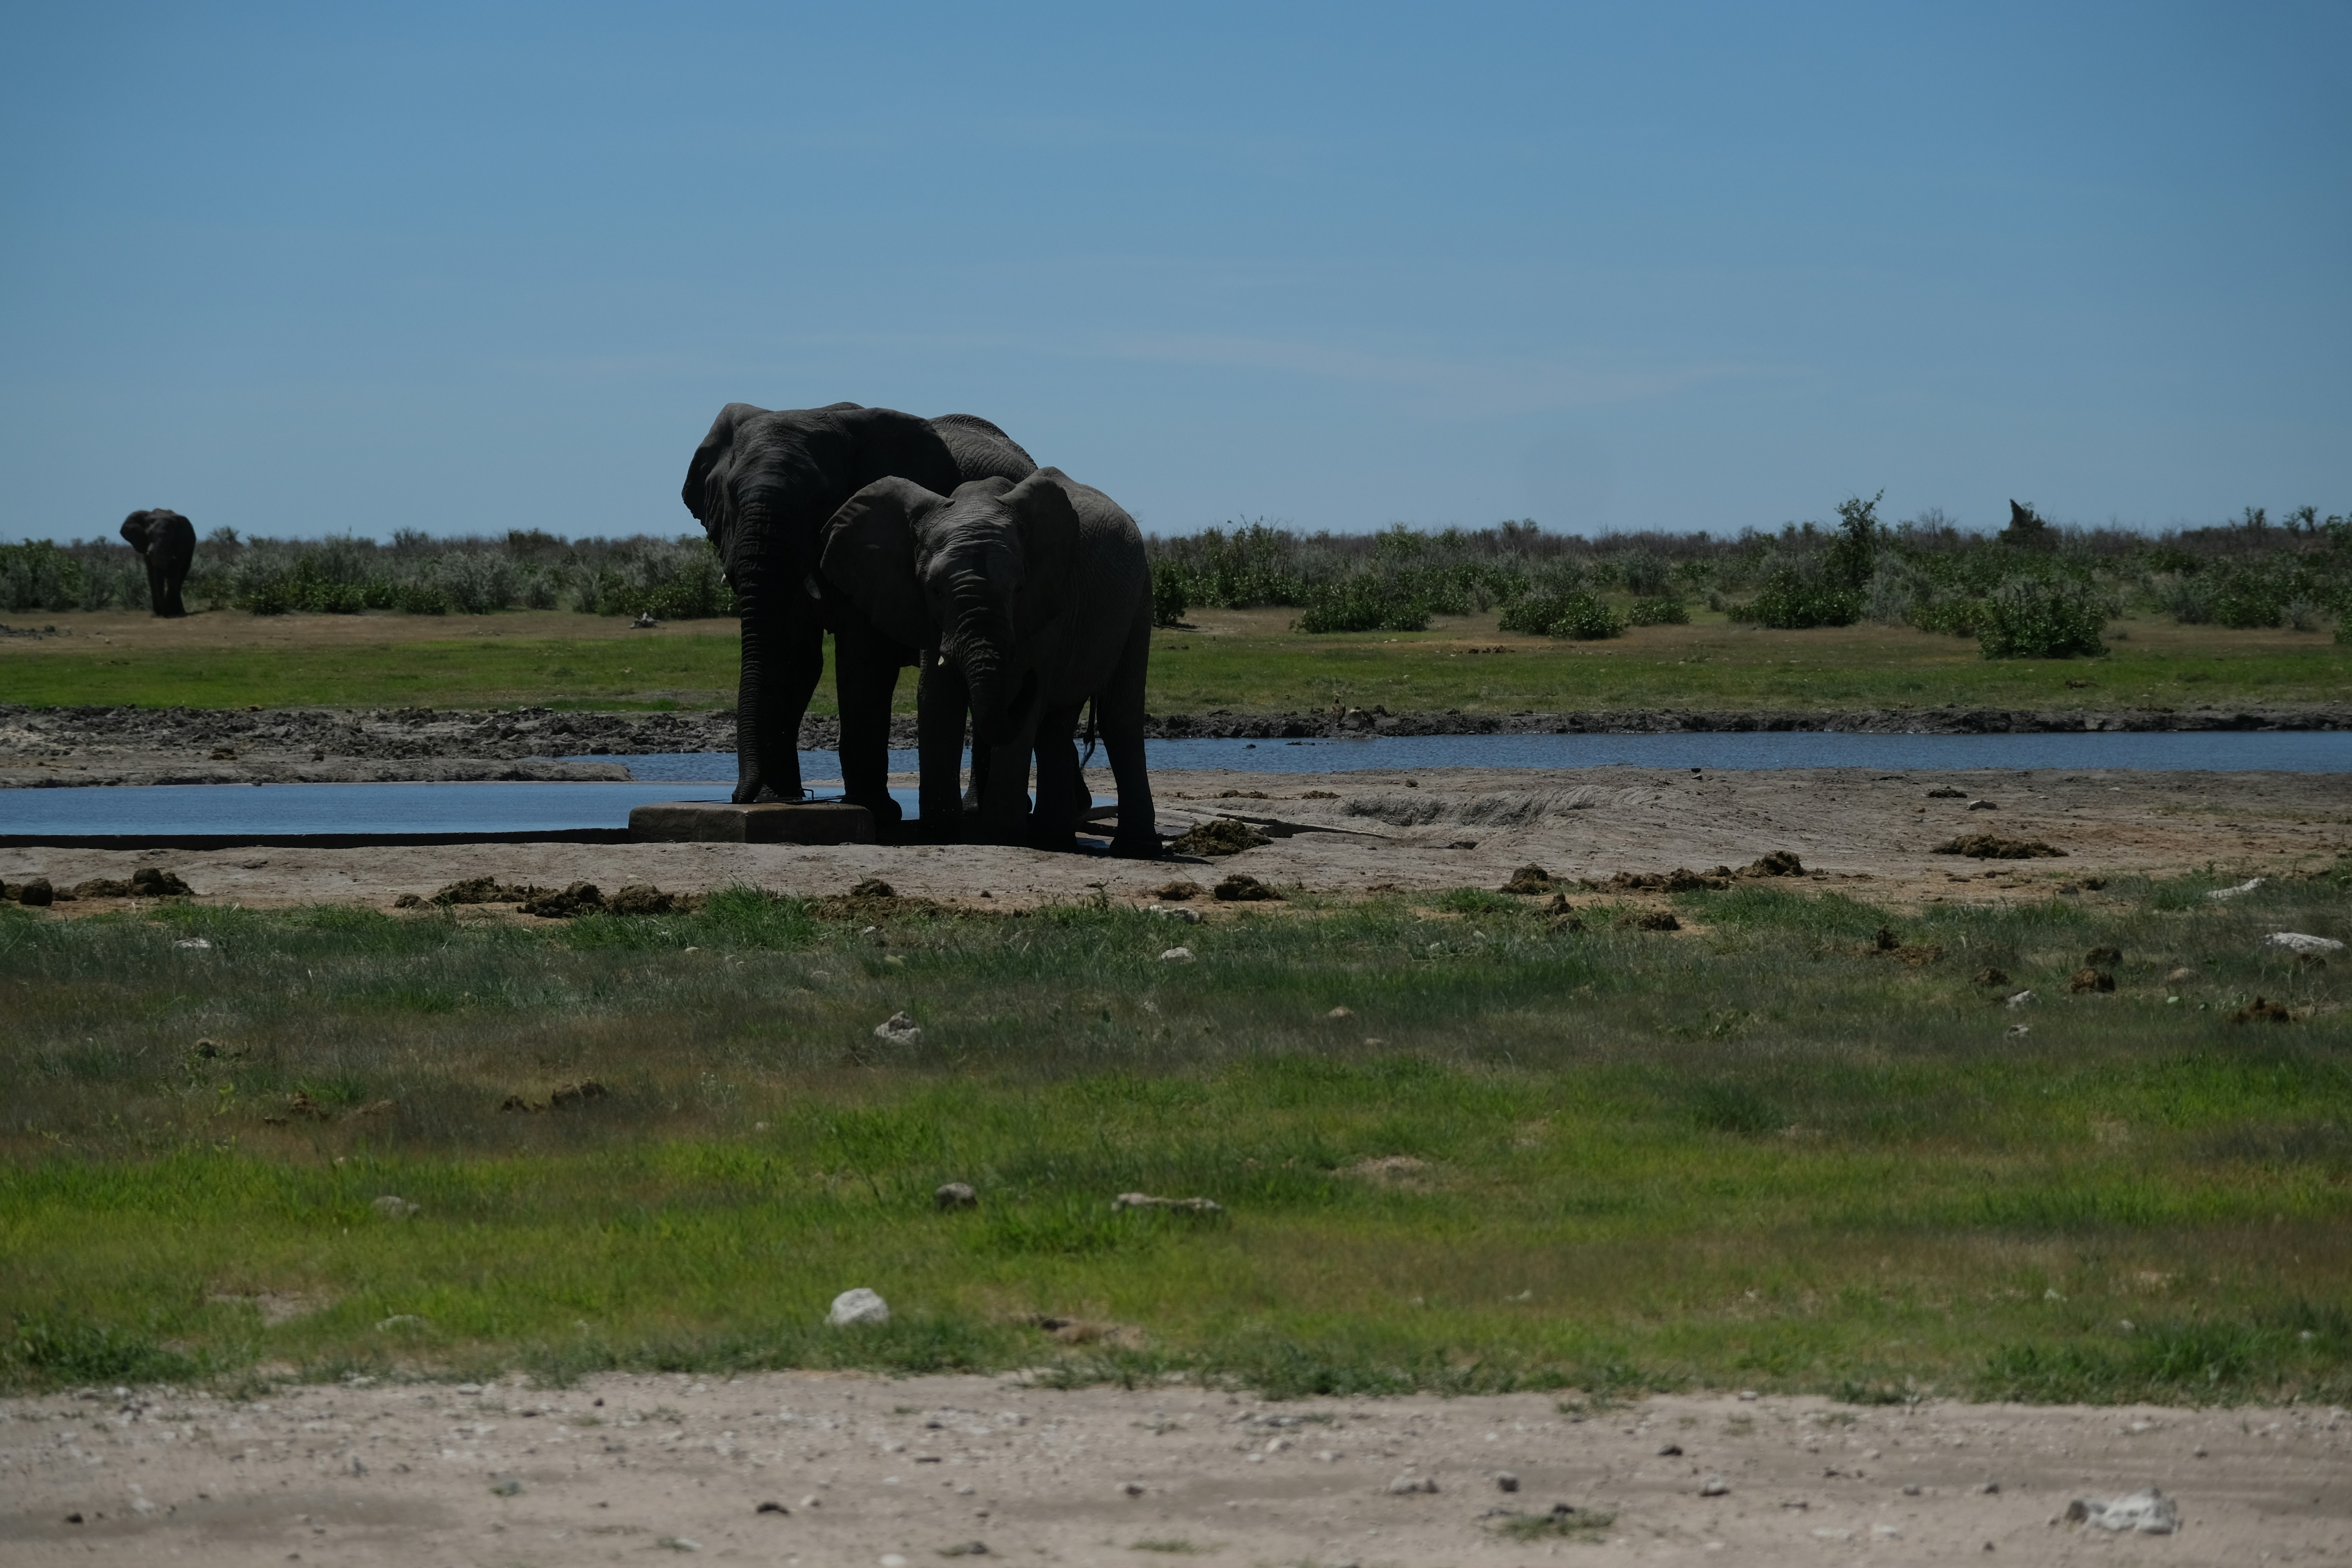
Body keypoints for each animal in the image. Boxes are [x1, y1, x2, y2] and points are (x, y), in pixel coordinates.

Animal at [119, 509, 196, 617]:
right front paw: (160, 613)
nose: (164, 614)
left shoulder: (179, 547)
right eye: (148, 535)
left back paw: (179, 612)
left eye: (171, 537)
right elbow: (153, 576)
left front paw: (170, 612)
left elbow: (174, 574)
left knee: (182, 576)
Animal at [679, 402, 1034, 815]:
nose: (739, 798)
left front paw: (875, 810)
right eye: (732, 498)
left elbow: (863, 659)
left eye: (821, 500)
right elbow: (793, 658)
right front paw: (777, 798)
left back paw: (979, 809)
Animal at [817, 466, 1160, 858]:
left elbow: (1015, 701)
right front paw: (939, 831)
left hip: (1140, 597)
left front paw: (1001, 836)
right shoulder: (925, 611)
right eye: (935, 590)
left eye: (1018, 589)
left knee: (1119, 716)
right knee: (1054, 724)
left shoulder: (1047, 601)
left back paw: (1134, 848)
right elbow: (936, 698)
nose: (1030, 677)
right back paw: (1053, 840)